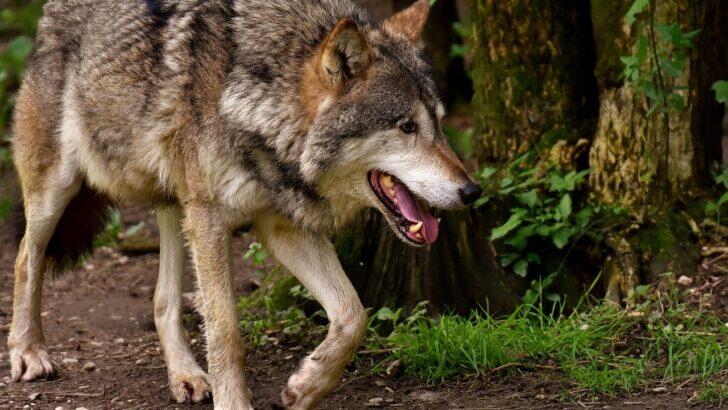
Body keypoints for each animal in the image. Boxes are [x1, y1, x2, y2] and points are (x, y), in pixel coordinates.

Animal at [7, 0, 482, 408]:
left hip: (176, 205)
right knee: (26, 258)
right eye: (406, 127)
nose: (472, 191)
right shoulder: (212, 220)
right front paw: (235, 401)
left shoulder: (280, 226)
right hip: (59, 187)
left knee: (163, 299)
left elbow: (353, 314)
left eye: (439, 124)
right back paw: (28, 353)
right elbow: (226, 332)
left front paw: (306, 387)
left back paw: (186, 376)